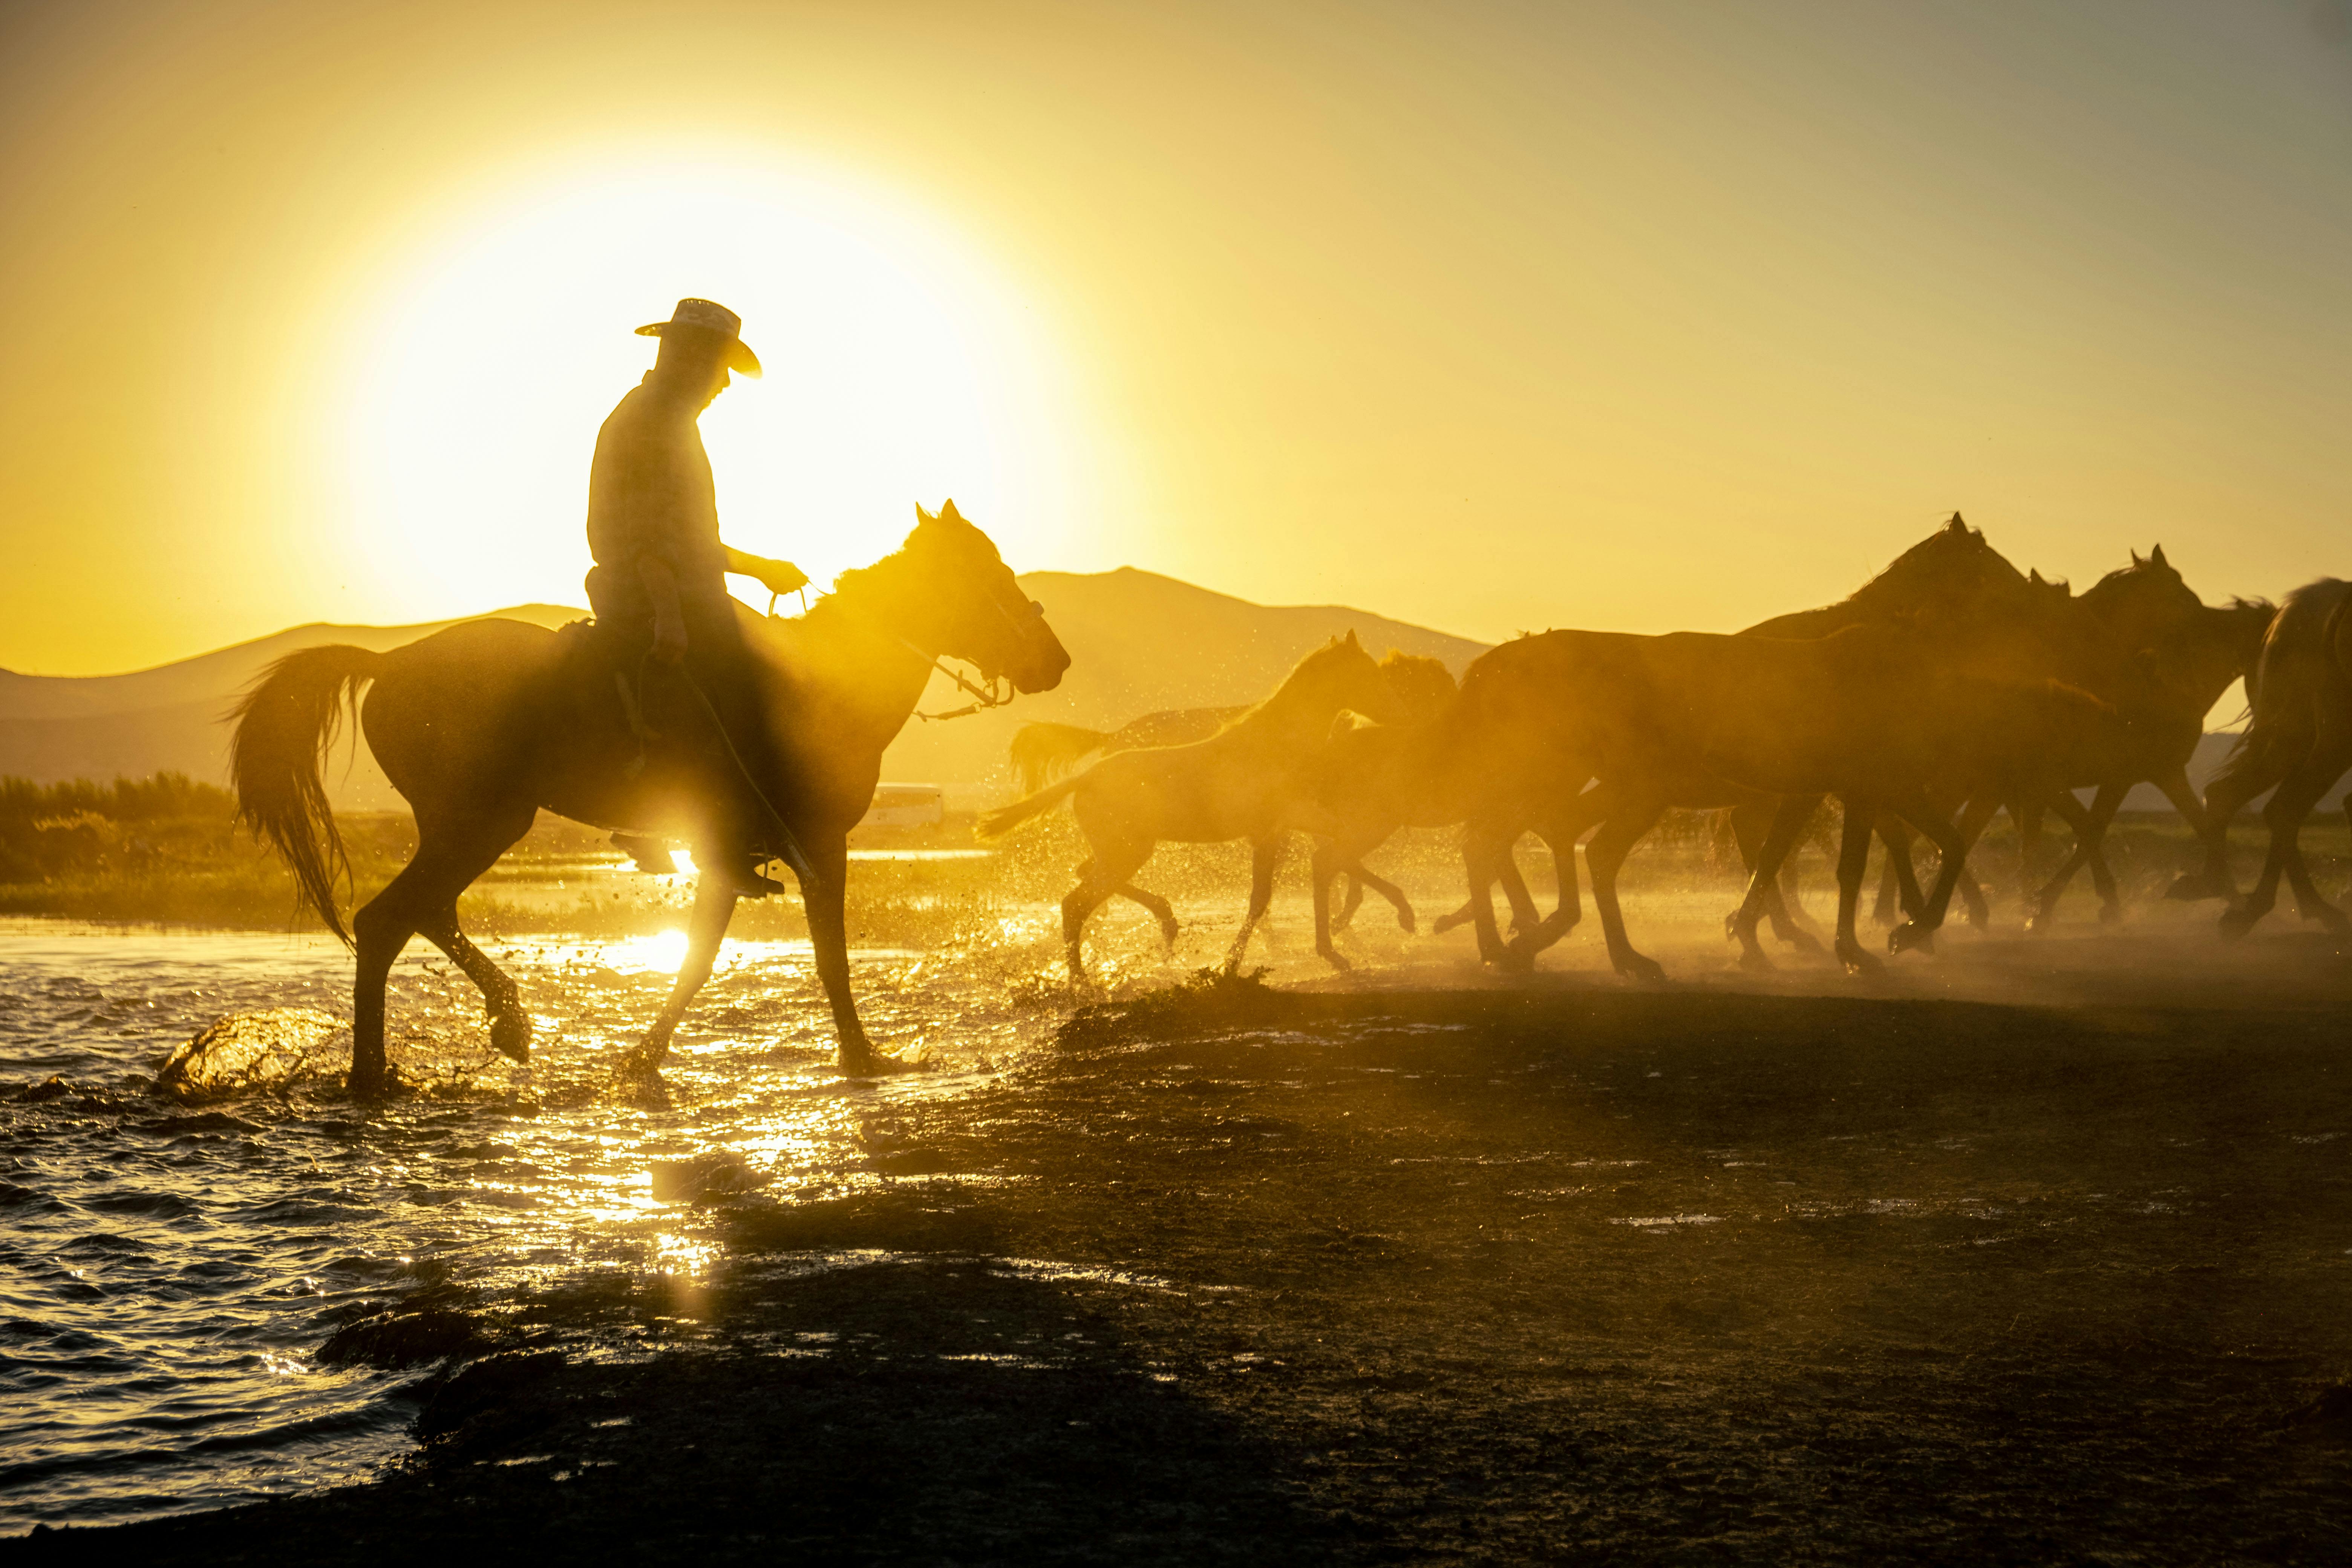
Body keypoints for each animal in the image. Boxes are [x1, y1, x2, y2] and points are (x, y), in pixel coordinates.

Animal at [231, 502, 1069, 1097]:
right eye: (991, 574)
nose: (1055, 661)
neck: (828, 687)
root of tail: (388, 662)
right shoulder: (821, 844)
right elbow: (828, 960)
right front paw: (865, 1058)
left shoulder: (732, 856)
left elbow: (698, 958)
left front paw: (642, 1057)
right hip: (481, 822)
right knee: (387, 922)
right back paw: (376, 1074)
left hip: (469, 825)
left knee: (424, 914)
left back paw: (505, 1024)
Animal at [978, 632, 1408, 979]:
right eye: (1368, 673)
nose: (1399, 715)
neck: (1275, 743)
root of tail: (1086, 776)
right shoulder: (1276, 828)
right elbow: (1273, 892)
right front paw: (1232, 965)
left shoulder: (1281, 827)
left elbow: (1325, 860)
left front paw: (1391, 918)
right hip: (1125, 853)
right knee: (1074, 905)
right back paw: (1083, 984)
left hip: (1123, 851)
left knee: (1083, 878)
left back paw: (1166, 924)